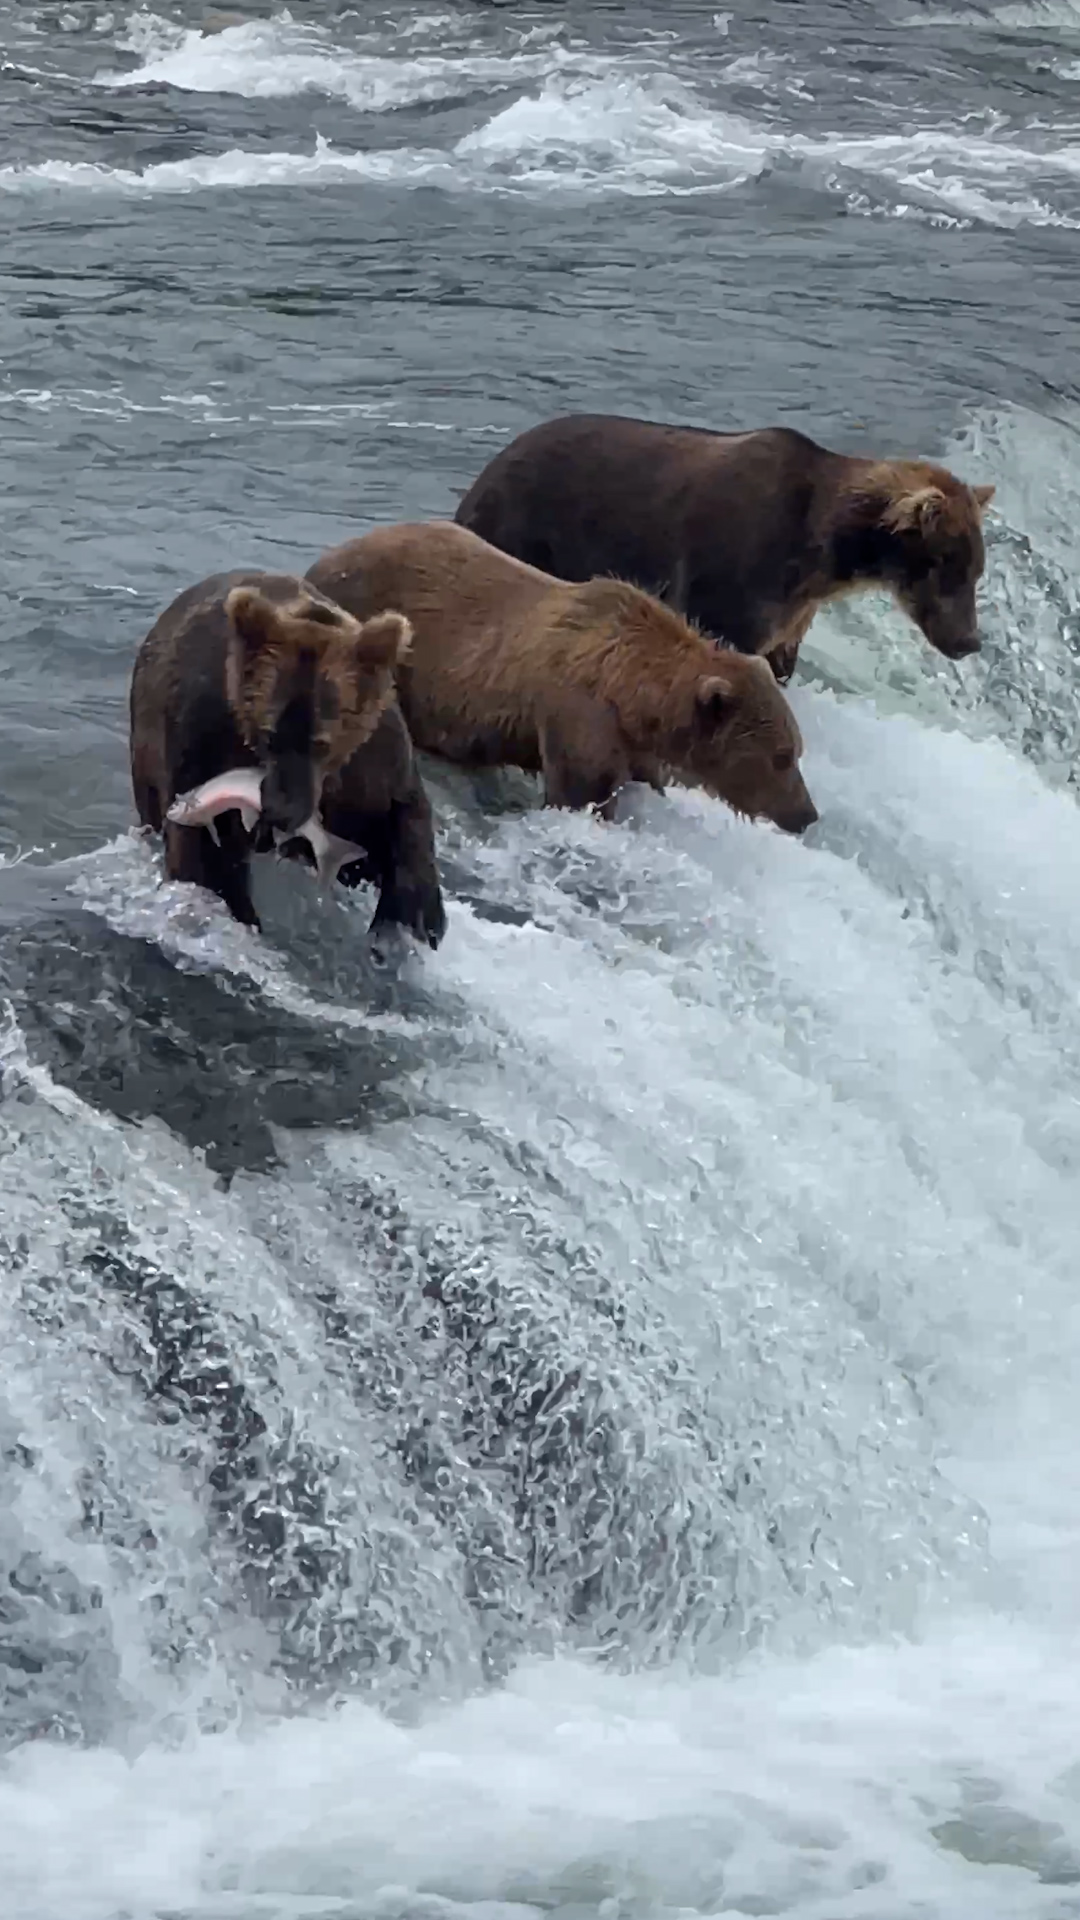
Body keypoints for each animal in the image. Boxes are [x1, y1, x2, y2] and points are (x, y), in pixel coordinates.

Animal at [130, 569, 446, 946]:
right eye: (269, 735)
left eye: (322, 743)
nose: (282, 811)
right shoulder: (203, 734)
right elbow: (207, 856)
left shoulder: (373, 758)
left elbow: (403, 814)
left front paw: (413, 920)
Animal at [305, 521, 819, 834]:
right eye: (781, 756)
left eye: (795, 751)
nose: (807, 814)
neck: (634, 693)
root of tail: (324, 559)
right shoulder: (577, 712)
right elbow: (581, 791)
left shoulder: (634, 742)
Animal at [454, 414, 996, 684]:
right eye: (948, 565)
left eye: (977, 571)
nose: (970, 641)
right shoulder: (736, 574)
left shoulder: (794, 612)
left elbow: (781, 659)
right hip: (528, 528)